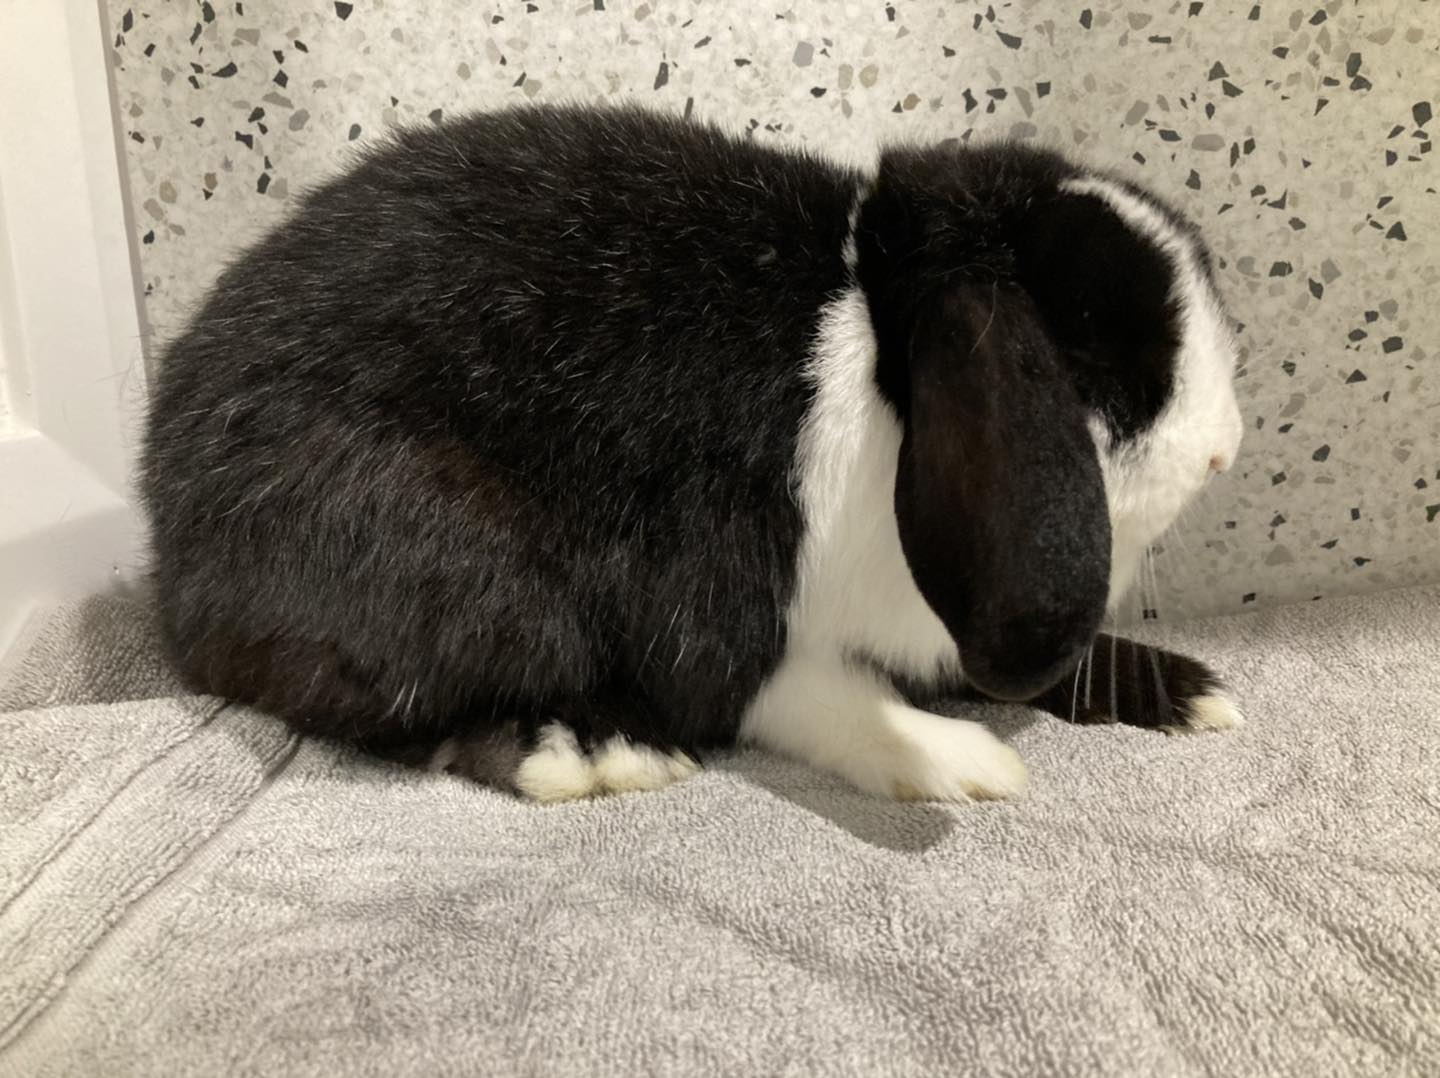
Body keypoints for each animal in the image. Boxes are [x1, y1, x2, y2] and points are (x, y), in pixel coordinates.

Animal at [141, 102, 1244, 804]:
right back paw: (593, 752)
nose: (1225, 452)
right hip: (448, 566)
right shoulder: (733, 613)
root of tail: (168, 535)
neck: (878, 360)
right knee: (409, 711)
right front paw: (958, 760)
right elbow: (821, 699)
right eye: (1093, 352)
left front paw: (1194, 693)